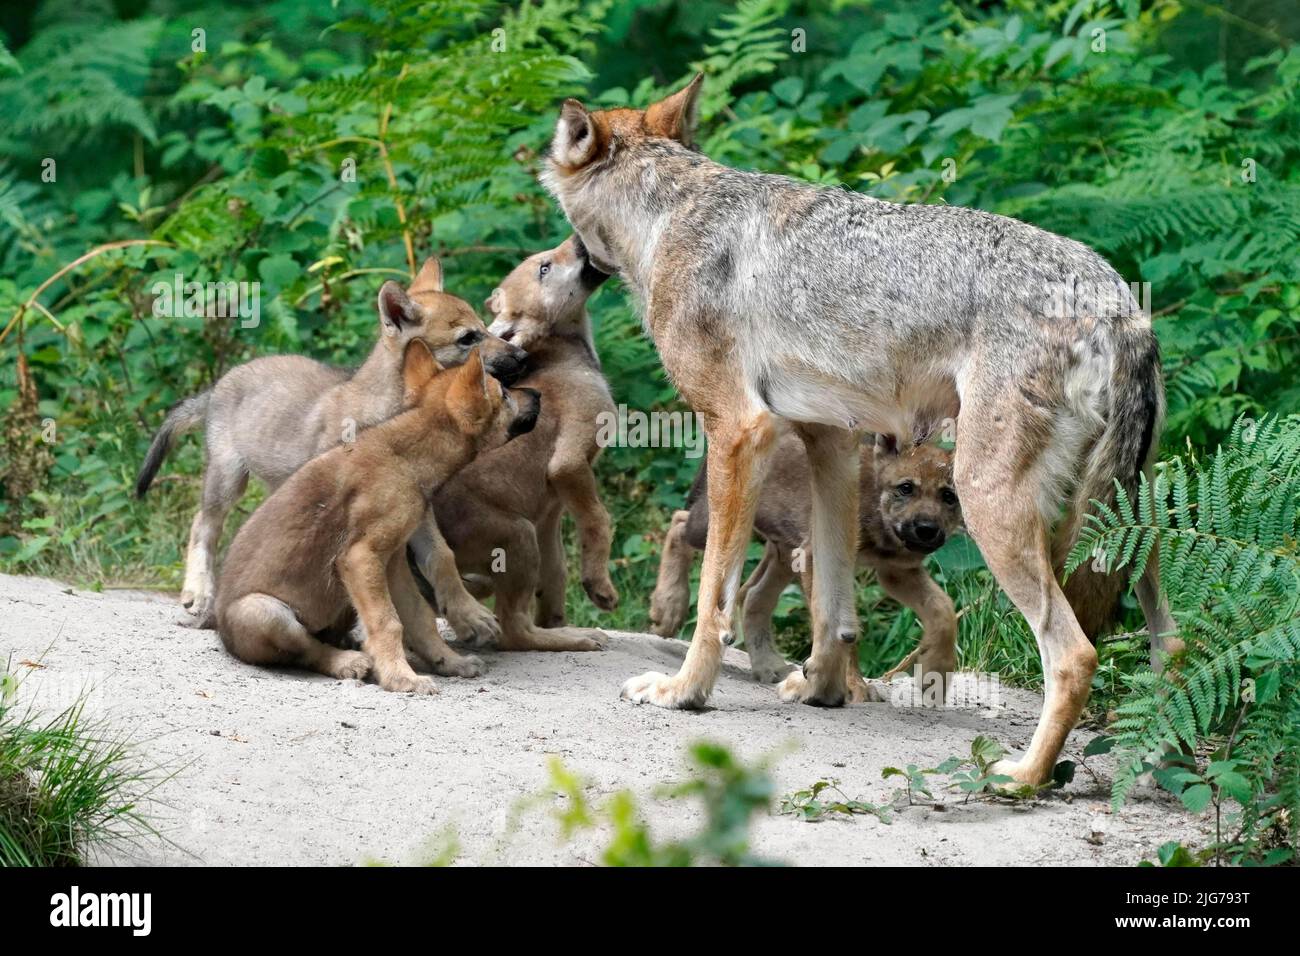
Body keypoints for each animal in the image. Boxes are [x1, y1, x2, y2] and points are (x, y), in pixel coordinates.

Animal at [135, 258, 524, 646]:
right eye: (468, 338)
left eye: (483, 326)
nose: (521, 354)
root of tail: (219, 384)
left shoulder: (415, 501)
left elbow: (441, 556)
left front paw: (469, 616)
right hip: (228, 479)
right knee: (203, 524)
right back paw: (200, 594)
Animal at [215, 343, 540, 693]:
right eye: (504, 393)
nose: (538, 394)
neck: (406, 458)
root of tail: (223, 635)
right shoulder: (361, 558)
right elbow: (388, 623)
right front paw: (400, 678)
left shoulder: (393, 562)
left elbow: (419, 619)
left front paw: (449, 662)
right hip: (265, 612)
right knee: (307, 651)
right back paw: (347, 661)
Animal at [432, 235, 617, 651]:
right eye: (544, 267)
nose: (578, 238)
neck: (563, 357)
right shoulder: (569, 463)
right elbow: (600, 522)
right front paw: (600, 588)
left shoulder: (549, 513)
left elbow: (556, 575)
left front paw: (557, 618)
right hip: (517, 535)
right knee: (514, 630)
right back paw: (576, 639)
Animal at [650, 430, 962, 698]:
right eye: (906, 488)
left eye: (949, 496)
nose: (927, 529)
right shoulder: (820, 559)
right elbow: (842, 631)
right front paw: (852, 686)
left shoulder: (897, 572)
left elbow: (943, 608)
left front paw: (937, 670)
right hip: (714, 526)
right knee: (678, 523)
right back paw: (668, 608)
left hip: (785, 551)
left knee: (752, 595)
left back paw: (769, 665)